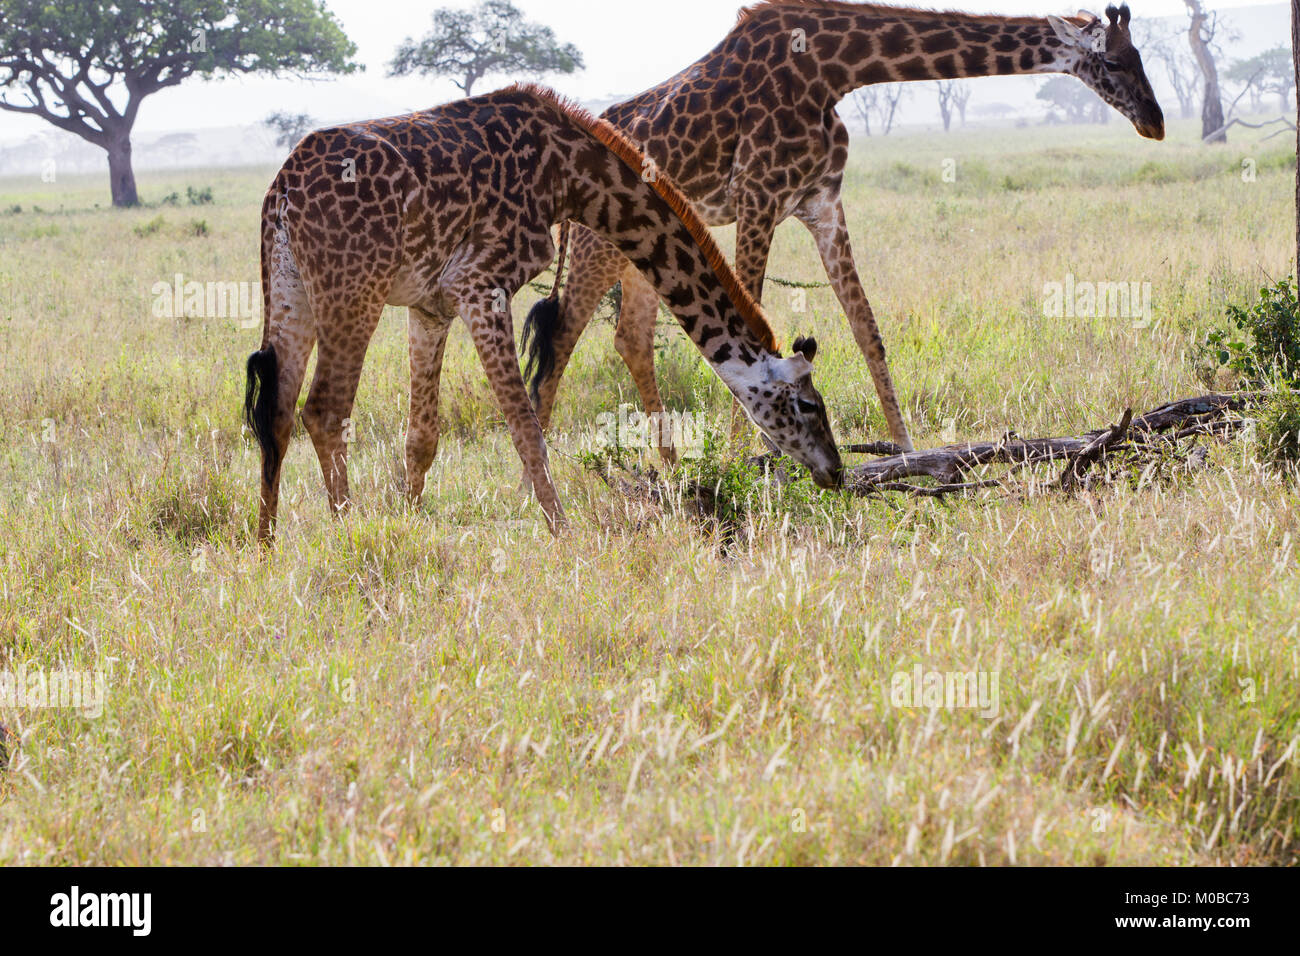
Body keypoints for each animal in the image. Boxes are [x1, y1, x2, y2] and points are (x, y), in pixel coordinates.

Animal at [244, 84, 843, 545]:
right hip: (353, 292)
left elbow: (422, 437)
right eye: (808, 405)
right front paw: (562, 531)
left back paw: (267, 544)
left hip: (293, 291)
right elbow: (526, 424)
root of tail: (282, 192)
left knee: (277, 412)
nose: (834, 471)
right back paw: (345, 530)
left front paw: (409, 523)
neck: (568, 177)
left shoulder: (431, 305)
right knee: (324, 410)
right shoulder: (479, 285)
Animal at [519, 2, 1164, 461]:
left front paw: (908, 451)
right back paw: (544, 480)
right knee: (560, 340)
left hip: (641, 251)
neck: (833, 70)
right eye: (1111, 62)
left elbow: (867, 330)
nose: (1155, 122)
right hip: (597, 246)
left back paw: (671, 468)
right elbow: (753, 332)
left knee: (628, 337)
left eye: (1142, 56)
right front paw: (748, 456)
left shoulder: (823, 202)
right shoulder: (758, 196)